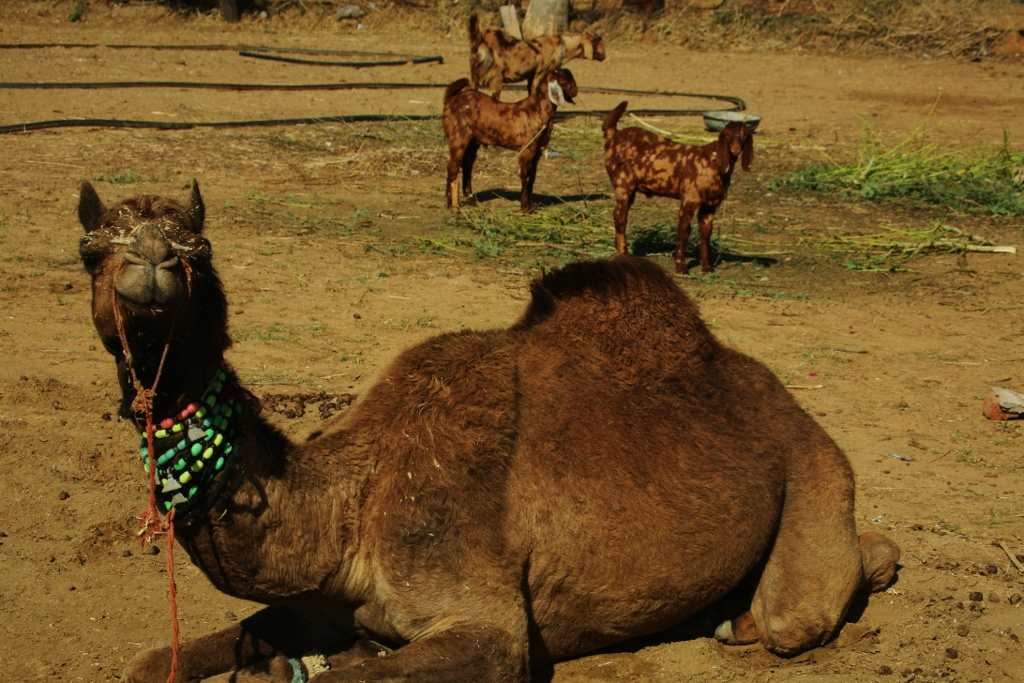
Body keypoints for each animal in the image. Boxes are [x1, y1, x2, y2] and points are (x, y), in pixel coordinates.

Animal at [77, 181, 900, 683]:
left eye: (197, 248)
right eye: (90, 247)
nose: (150, 262)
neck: (350, 503)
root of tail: (787, 399)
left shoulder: (488, 624)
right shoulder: (324, 593)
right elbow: (153, 659)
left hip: (814, 468)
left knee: (801, 610)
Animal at [443, 69, 577, 213]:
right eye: (563, 80)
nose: (575, 91)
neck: (536, 110)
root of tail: (450, 100)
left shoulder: (536, 151)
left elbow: (532, 177)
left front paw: (532, 206)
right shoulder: (527, 149)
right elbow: (526, 176)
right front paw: (525, 208)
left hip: (473, 142)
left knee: (467, 165)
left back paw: (471, 201)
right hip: (458, 136)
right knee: (452, 166)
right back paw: (451, 204)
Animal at [469, 14, 604, 100]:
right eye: (596, 42)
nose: (604, 55)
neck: (560, 47)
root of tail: (480, 39)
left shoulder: (531, 76)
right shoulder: (540, 74)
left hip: (474, 75)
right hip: (496, 78)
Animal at [603, 101, 754, 275]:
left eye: (745, 135)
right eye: (727, 135)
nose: (735, 149)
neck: (713, 161)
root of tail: (613, 135)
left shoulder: (710, 204)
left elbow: (706, 232)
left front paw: (707, 267)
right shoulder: (689, 197)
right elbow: (684, 230)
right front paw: (681, 267)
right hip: (623, 183)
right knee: (620, 216)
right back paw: (624, 255)